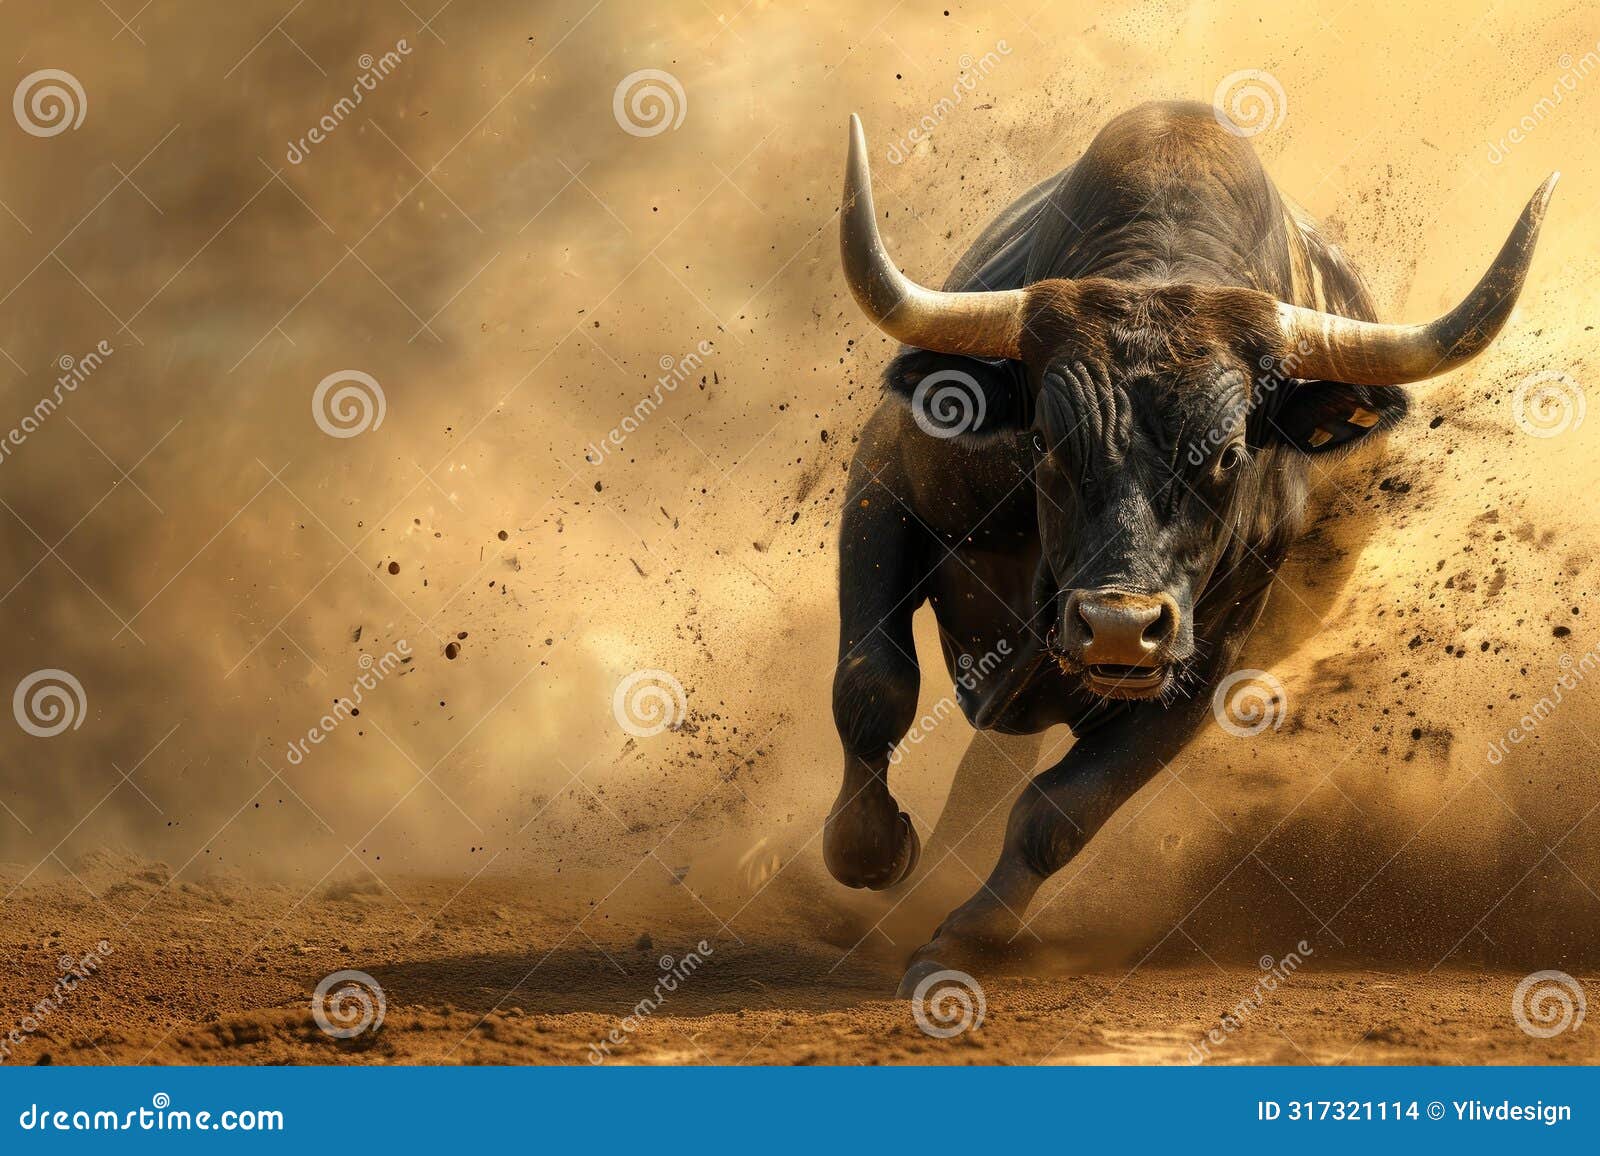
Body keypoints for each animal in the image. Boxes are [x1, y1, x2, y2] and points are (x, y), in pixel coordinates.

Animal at [823, 101, 1556, 996]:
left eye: (1231, 453)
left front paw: (961, 938)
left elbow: (1062, 812)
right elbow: (873, 685)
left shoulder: (1209, 663)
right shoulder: (884, 485)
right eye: (1048, 440)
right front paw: (873, 849)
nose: (1116, 627)